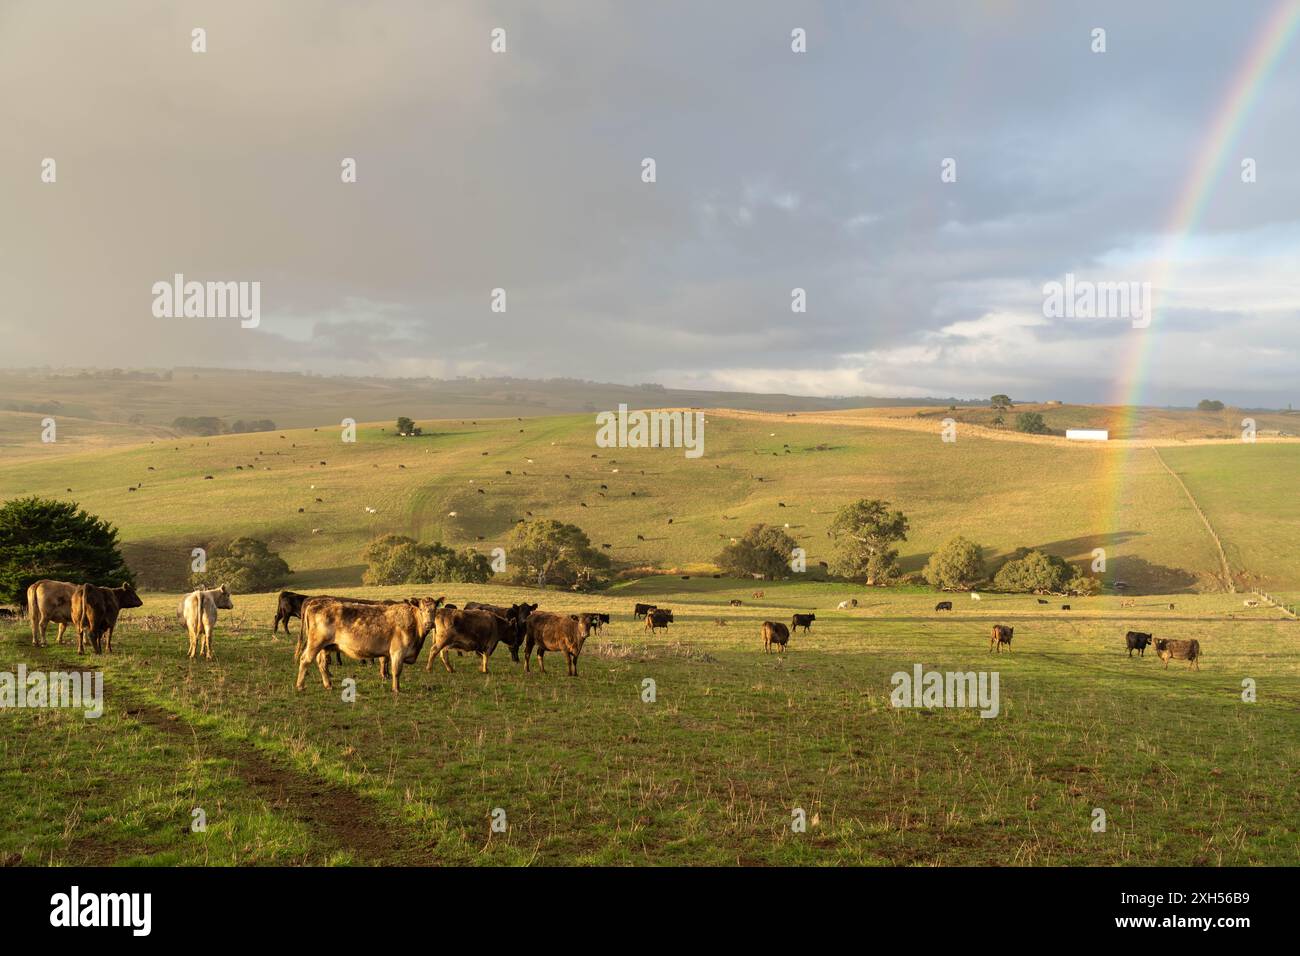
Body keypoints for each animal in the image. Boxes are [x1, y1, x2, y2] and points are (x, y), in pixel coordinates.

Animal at [297, 597, 443, 692]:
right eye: (421, 609)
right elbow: (396, 671)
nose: (429, 624)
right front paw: (396, 689)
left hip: (324, 647)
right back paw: (300, 686)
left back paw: (328, 685)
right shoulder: (397, 652)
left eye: (435, 609)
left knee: (322, 664)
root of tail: (315, 603)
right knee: (305, 660)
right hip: (315, 643)